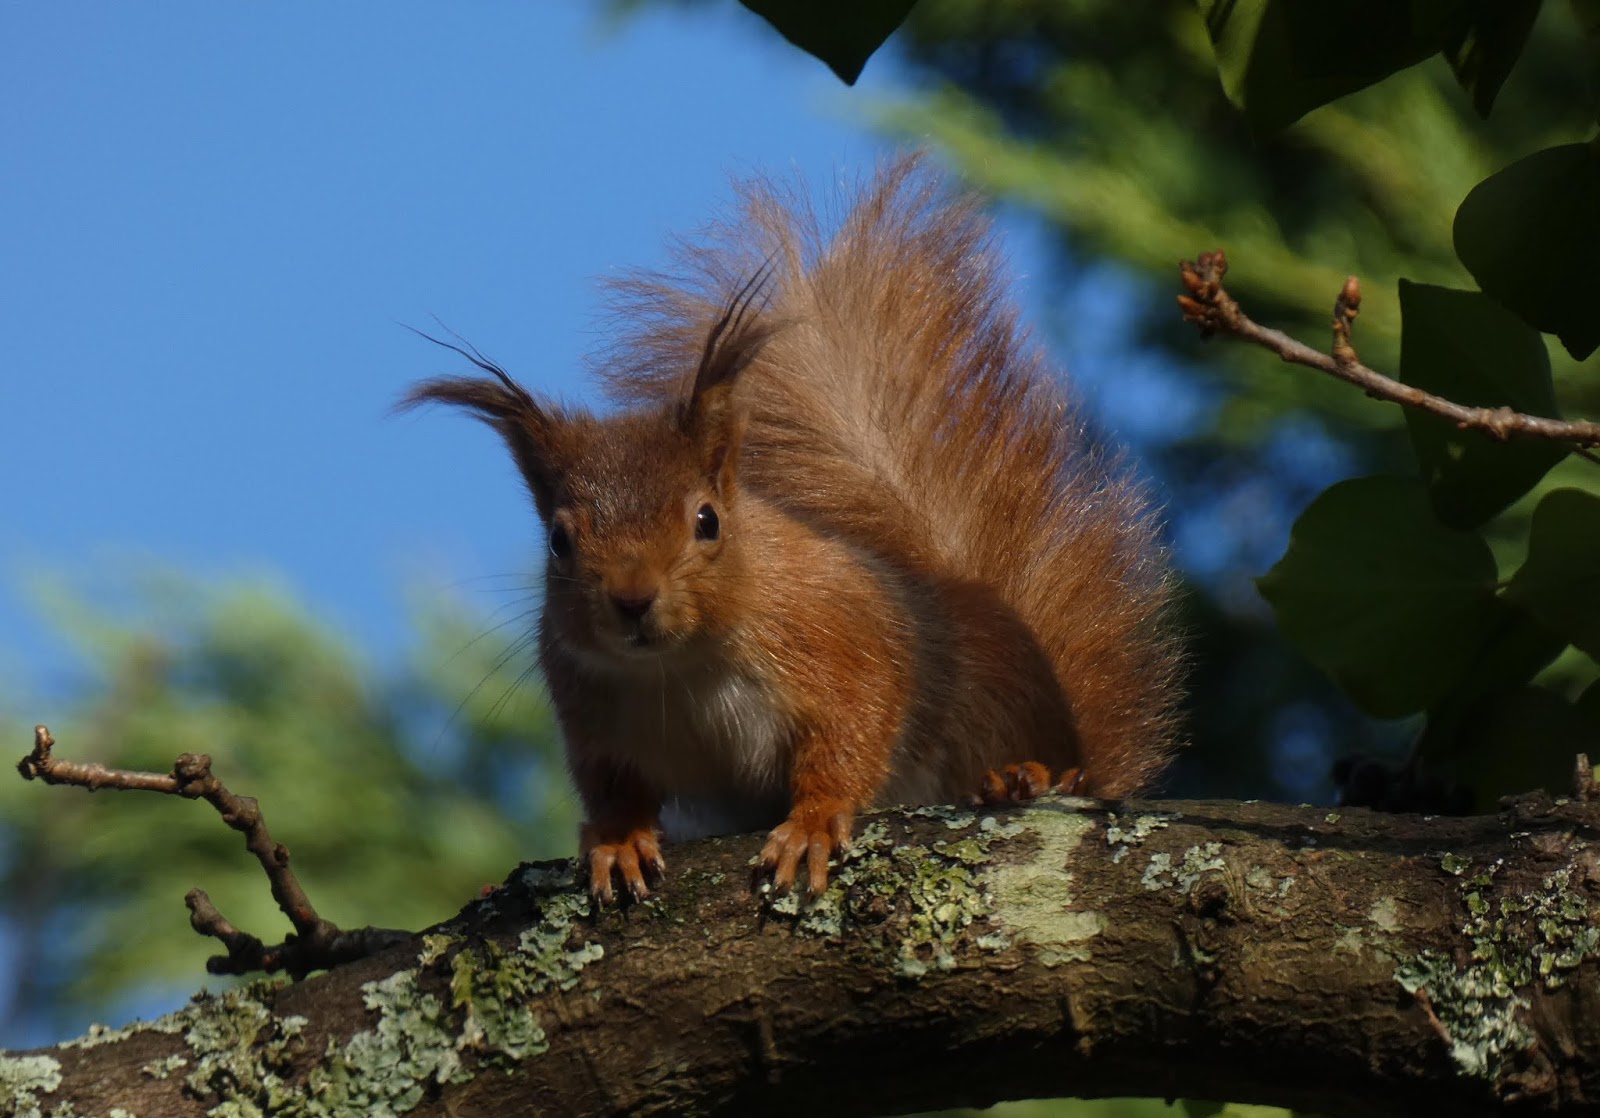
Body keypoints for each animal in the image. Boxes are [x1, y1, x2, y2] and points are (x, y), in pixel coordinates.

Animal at [403, 155, 1183, 903]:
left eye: (707, 520)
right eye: (559, 541)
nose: (631, 600)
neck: (679, 667)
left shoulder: (843, 636)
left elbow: (852, 733)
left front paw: (811, 822)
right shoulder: (591, 715)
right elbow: (612, 787)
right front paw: (619, 838)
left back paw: (1021, 778)